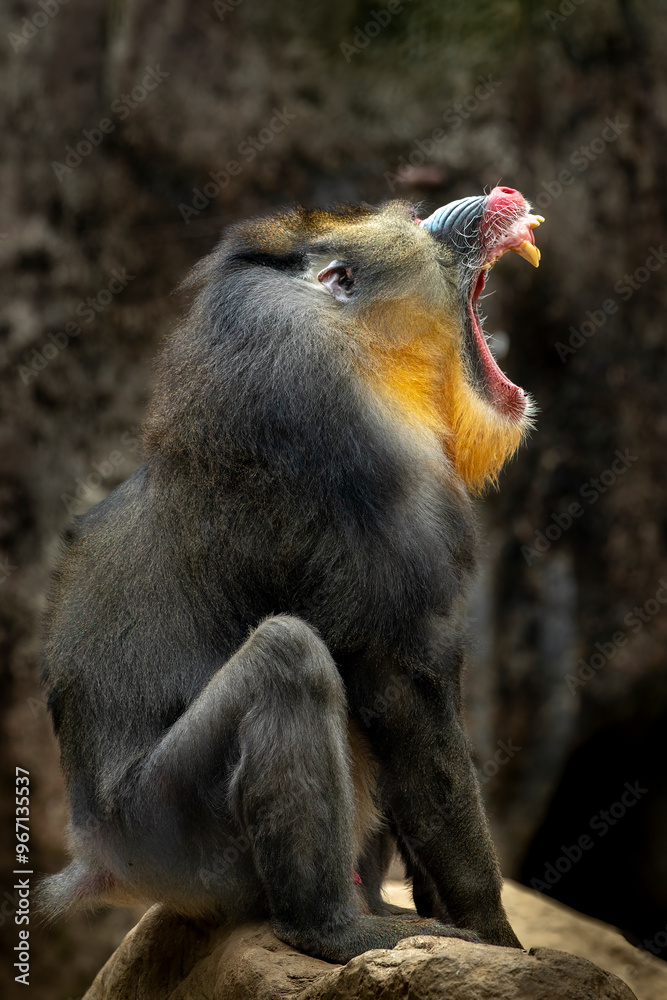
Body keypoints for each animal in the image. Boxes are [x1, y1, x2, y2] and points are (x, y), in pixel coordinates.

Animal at [41, 186, 543, 964]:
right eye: (413, 221)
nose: (503, 195)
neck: (358, 354)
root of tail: (99, 855)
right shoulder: (361, 495)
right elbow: (409, 712)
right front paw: (493, 936)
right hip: (175, 831)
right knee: (289, 657)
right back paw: (345, 929)